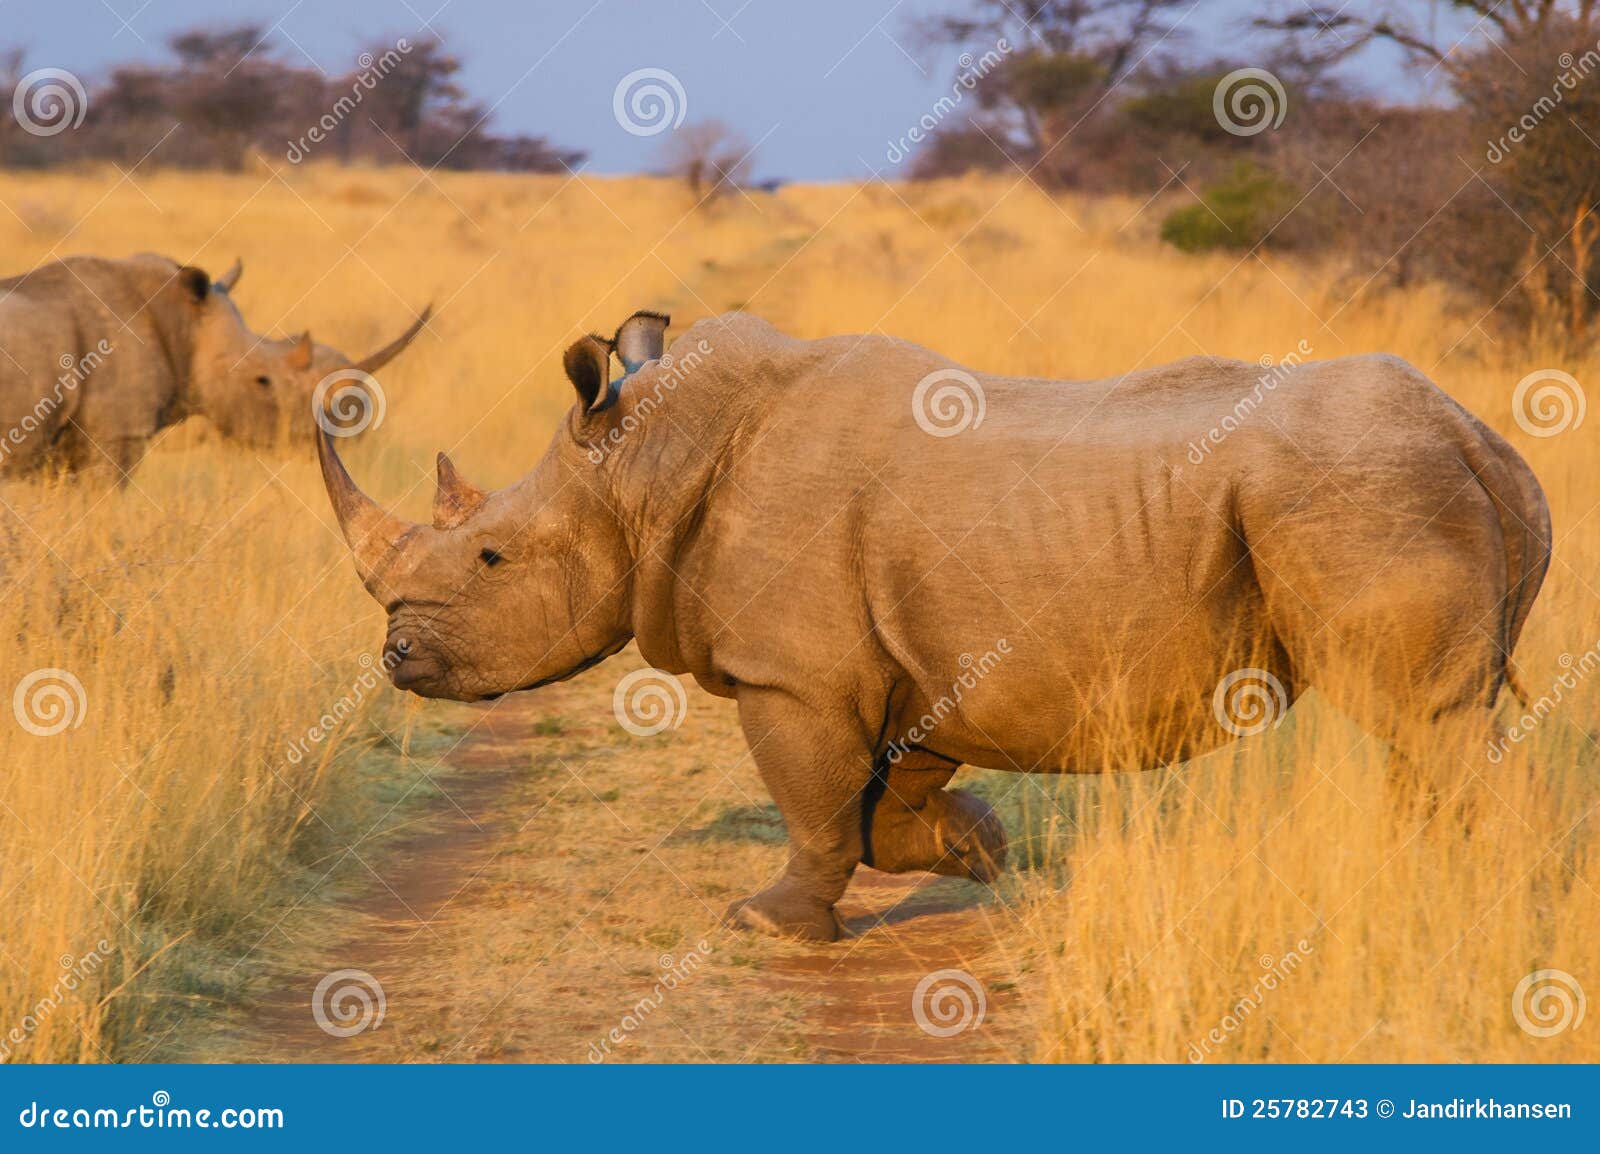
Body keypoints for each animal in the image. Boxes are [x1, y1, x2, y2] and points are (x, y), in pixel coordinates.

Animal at [318, 311, 1551, 941]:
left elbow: (815, 805)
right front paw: (975, 849)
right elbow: (885, 801)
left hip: (1361, 487)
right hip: (1392, 481)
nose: (397, 658)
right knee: (1430, 727)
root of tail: (1483, 441)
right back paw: (1413, 879)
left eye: (490, 558)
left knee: (1424, 720)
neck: (640, 466)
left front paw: (767, 923)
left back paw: (1466, 901)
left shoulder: (794, 675)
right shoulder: (922, 654)